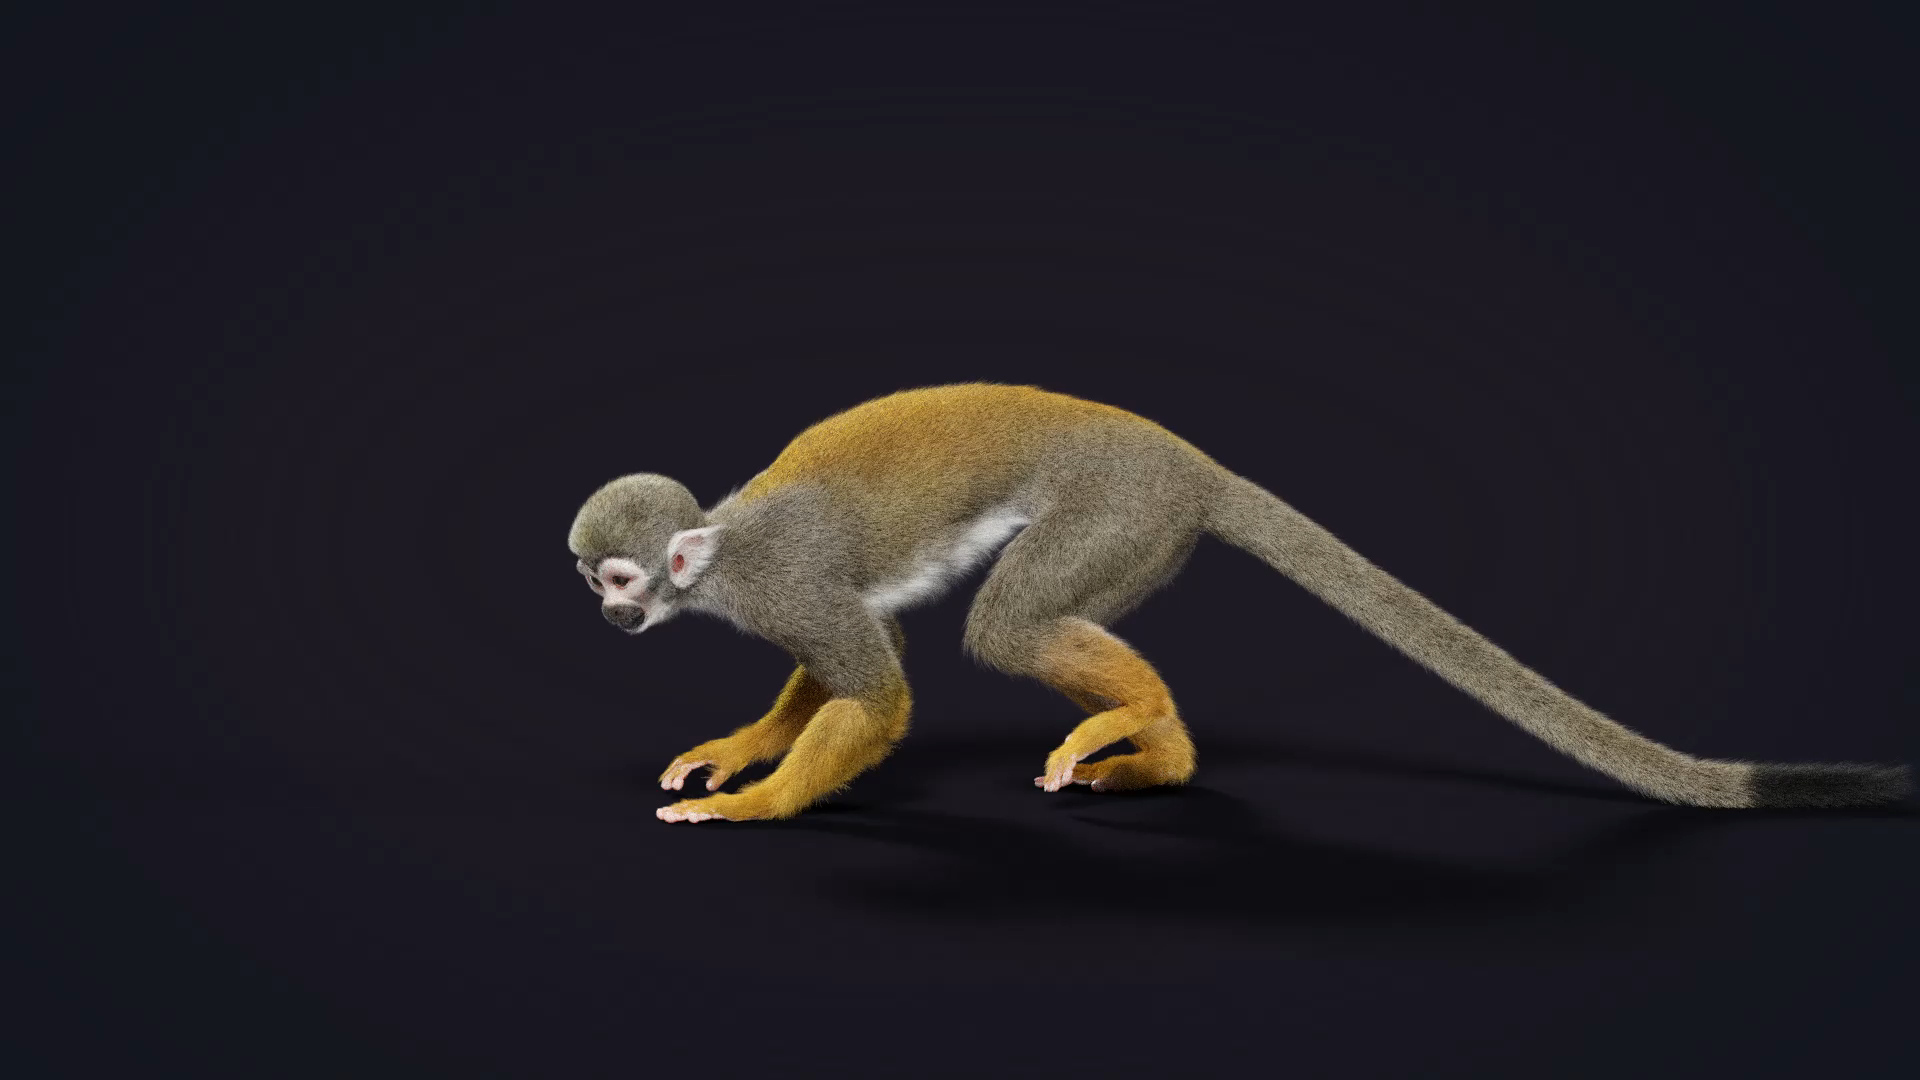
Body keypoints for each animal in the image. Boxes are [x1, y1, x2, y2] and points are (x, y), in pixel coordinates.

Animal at [565, 383, 1910, 823]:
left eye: (617, 580)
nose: (606, 620)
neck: (714, 559)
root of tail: (1190, 459)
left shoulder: (775, 584)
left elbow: (878, 686)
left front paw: (749, 805)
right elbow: (862, 654)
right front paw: (736, 750)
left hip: (1121, 510)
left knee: (1010, 626)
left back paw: (1141, 724)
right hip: (1150, 535)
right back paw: (1161, 755)